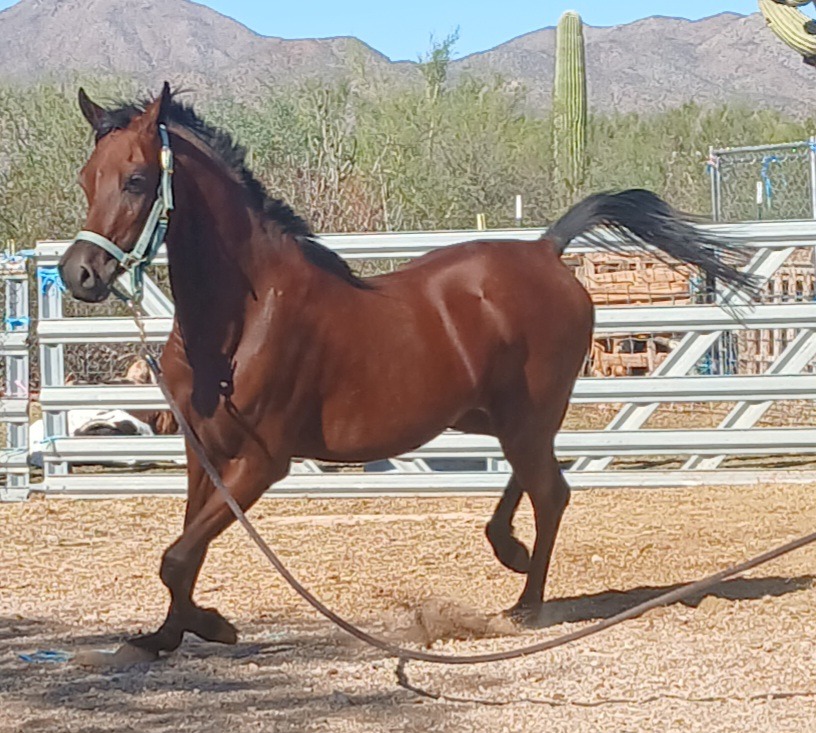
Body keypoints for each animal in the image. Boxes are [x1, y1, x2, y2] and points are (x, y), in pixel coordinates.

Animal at [58, 83, 754, 659]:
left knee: (551, 490)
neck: (241, 320)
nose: (79, 274)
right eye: (87, 178)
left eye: (138, 179)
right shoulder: (203, 452)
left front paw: (211, 626)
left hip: (526, 413)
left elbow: (178, 556)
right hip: (497, 416)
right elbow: (185, 550)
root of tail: (545, 250)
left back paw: (525, 605)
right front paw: (165, 635)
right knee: (535, 479)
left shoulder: (260, 461)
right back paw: (509, 548)